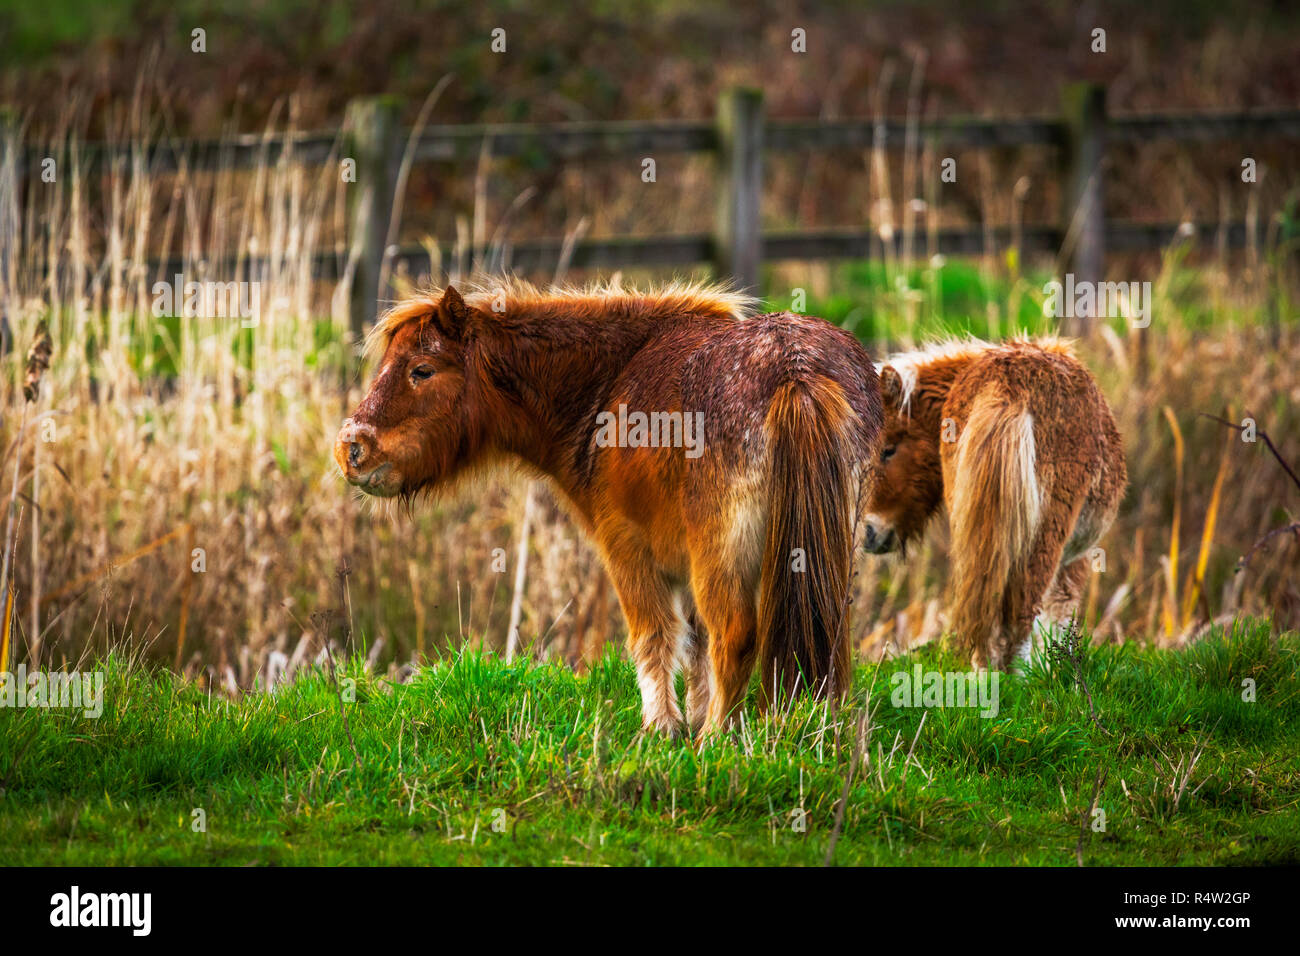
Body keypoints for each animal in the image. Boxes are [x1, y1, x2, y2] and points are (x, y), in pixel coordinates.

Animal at [335, 280, 883, 736]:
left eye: (421, 370)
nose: (351, 450)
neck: (609, 383)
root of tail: (795, 371)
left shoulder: (628, 552)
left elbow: (655, 638)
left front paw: (662, 729)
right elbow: (694, 648)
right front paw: (687, 720)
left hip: (720, 560)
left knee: (734, 635)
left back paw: (714, 741)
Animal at [860, 337, 1126, 670]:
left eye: (888, 450)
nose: (867, 532)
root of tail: (1008, 390)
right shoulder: (1073, 560)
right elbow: (1059, 620)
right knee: (1022, 610)